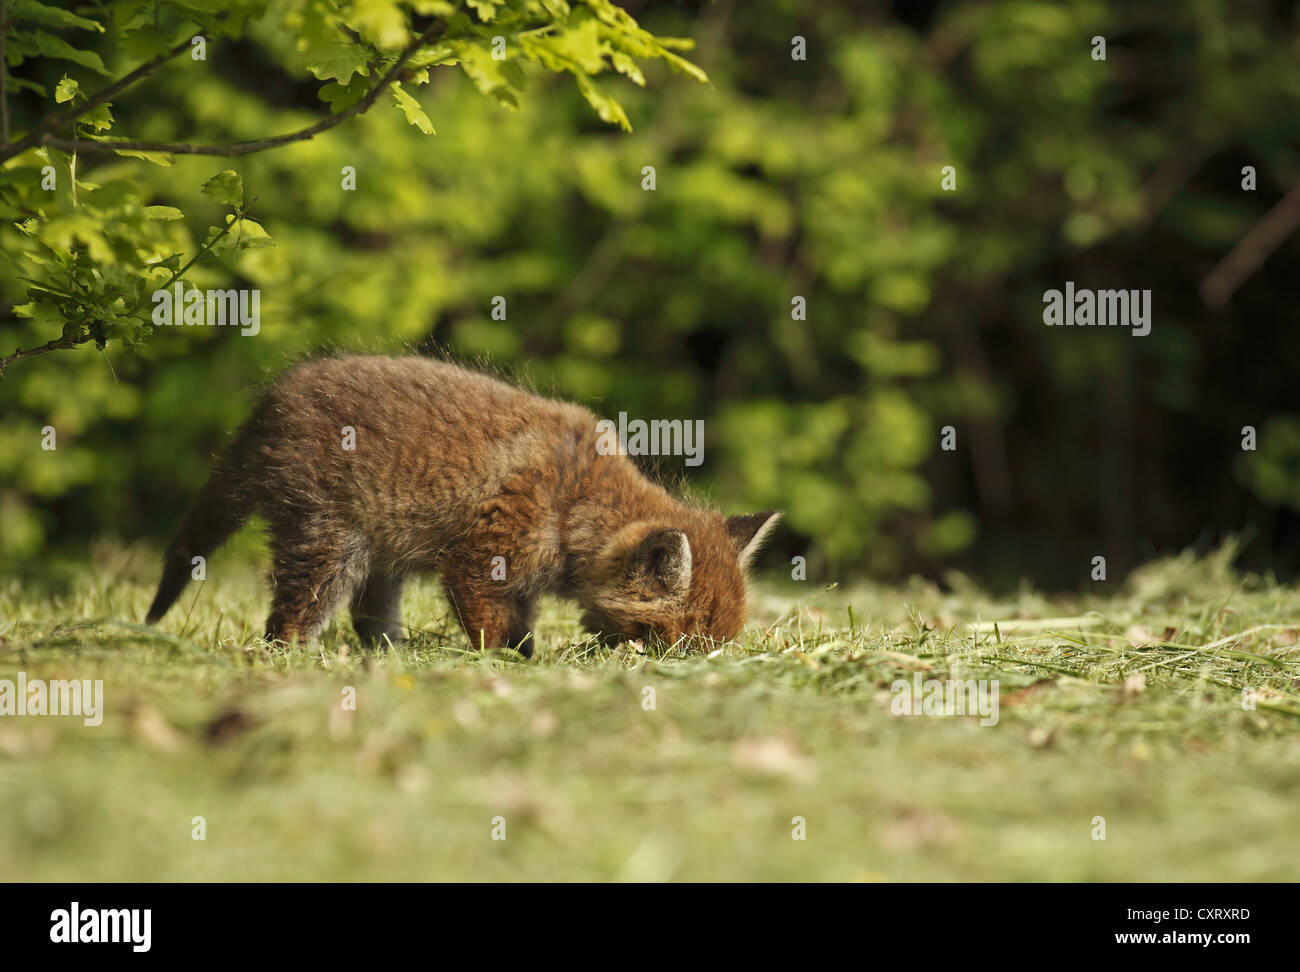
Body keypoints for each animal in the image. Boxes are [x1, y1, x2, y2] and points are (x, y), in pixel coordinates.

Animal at [145, 355, 781, 657]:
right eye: (678, 640)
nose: (694, 670)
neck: (572, 502)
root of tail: (273, 401)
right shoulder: (478, 562)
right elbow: (490, 627)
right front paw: (500, 664)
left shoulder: (520, 583)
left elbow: (522, 627)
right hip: (329, 544)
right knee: (290, 619)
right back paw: (295, 657)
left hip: (382, 552)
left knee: (369, 615)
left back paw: (390, 655)